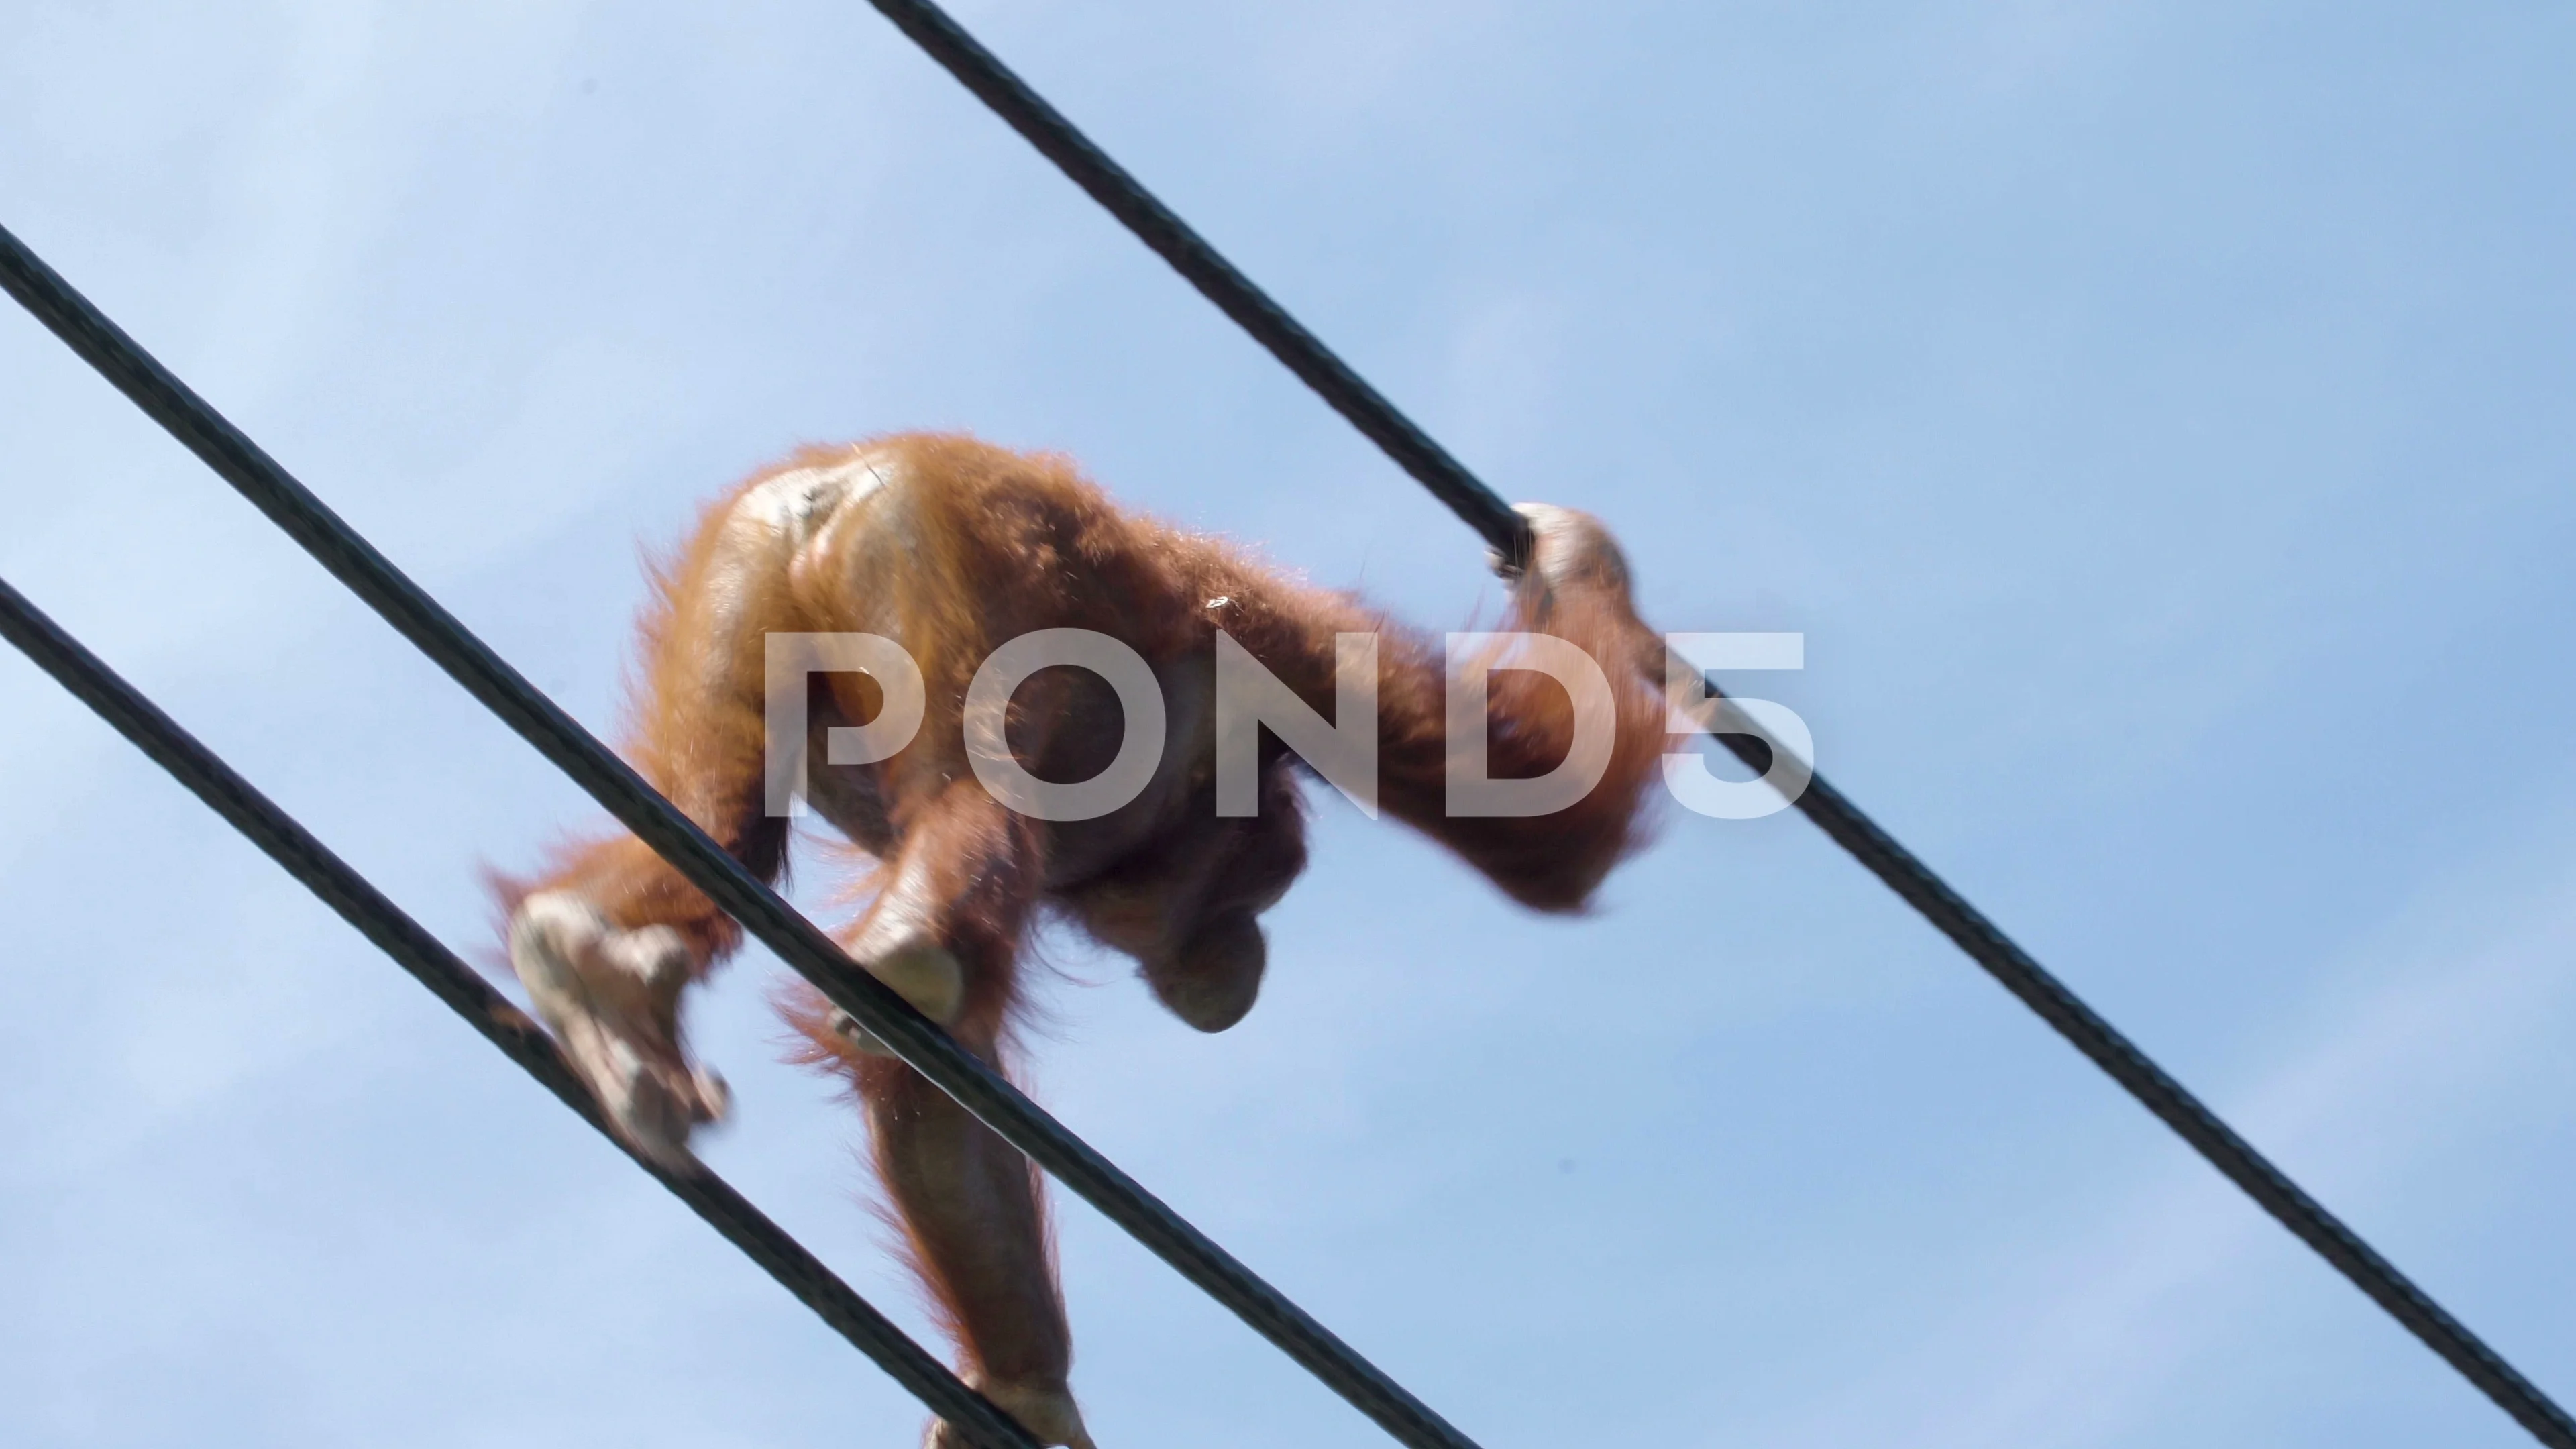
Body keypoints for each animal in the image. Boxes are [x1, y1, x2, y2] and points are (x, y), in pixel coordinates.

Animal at [500, 433, 1666, 1448]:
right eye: (1269, 888)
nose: (1235, 964)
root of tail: (844, 487)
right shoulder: (1287, 644)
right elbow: (1539, 829)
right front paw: (1573, 557)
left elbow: (923, 1087)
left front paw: (1021, 1387)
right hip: (949, 562)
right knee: (971, 814)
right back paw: (908, 949)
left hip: (742, 575)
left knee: (721, 819)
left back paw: (591, 973)